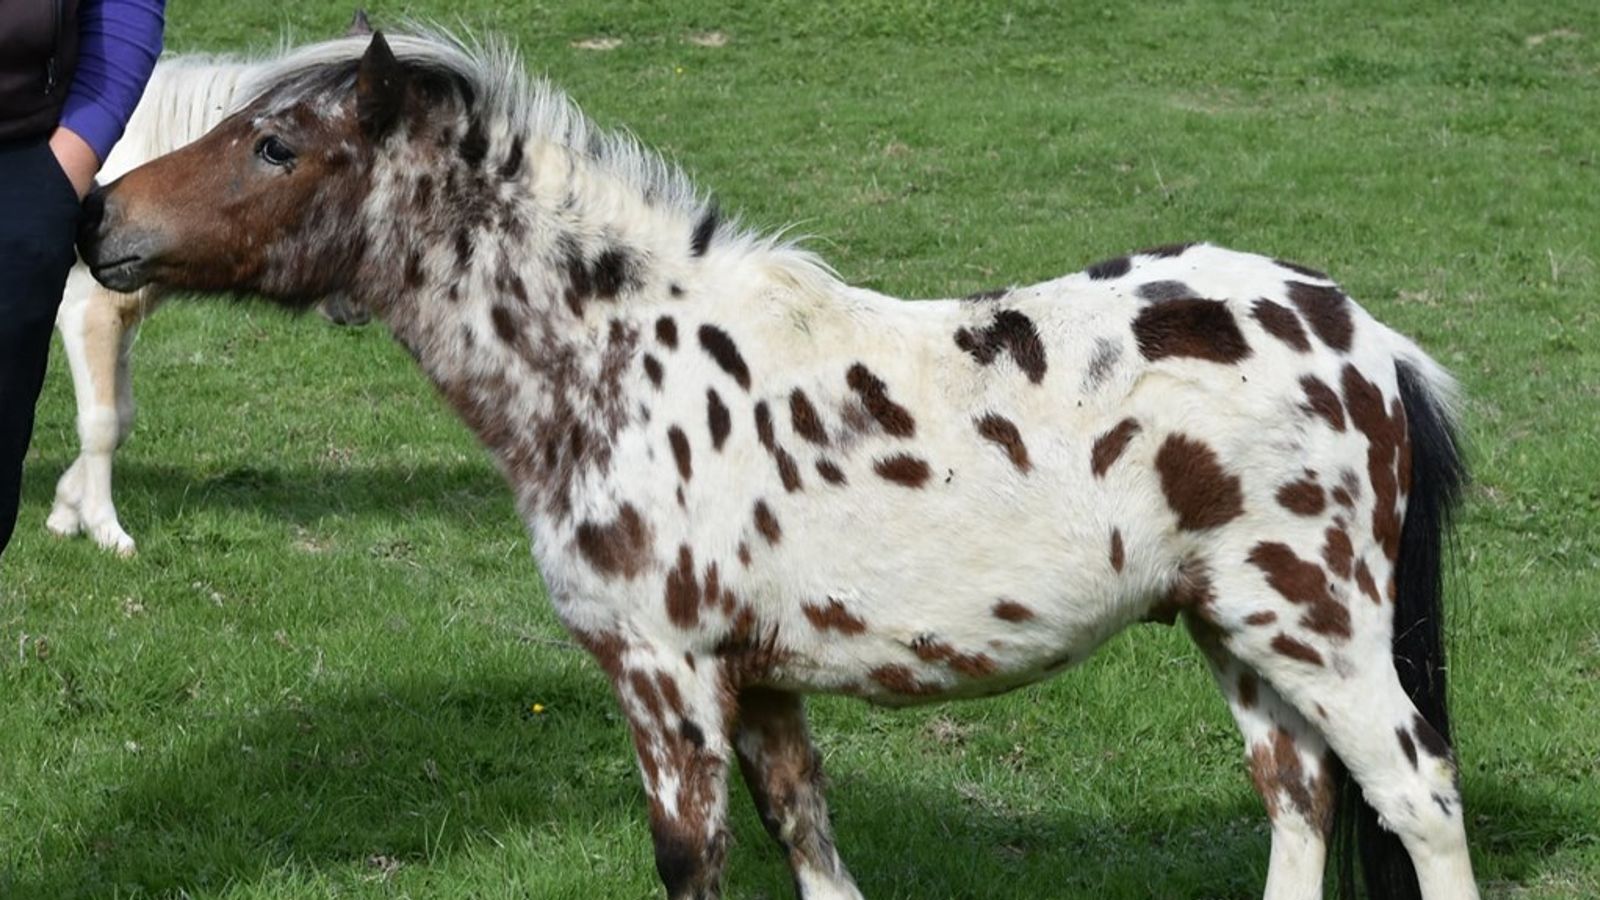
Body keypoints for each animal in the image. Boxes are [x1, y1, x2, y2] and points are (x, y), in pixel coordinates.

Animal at [45, 13, 373, 556]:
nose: (358, 308)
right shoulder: (86, 311)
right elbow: (101, 422)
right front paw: (106, 530)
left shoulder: (122, 319)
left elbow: (123, 416)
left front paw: (63, 511)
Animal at [78, 31, 1477, 900]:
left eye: (275, 146)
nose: (98, 217)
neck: (616, 366)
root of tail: (1366, 338)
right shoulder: (759, 689)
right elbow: (810, 842)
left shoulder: (665, 678)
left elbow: (692, 861)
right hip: (1234, 633)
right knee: (1299, 802)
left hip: (1322, 633)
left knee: (1417, 803)